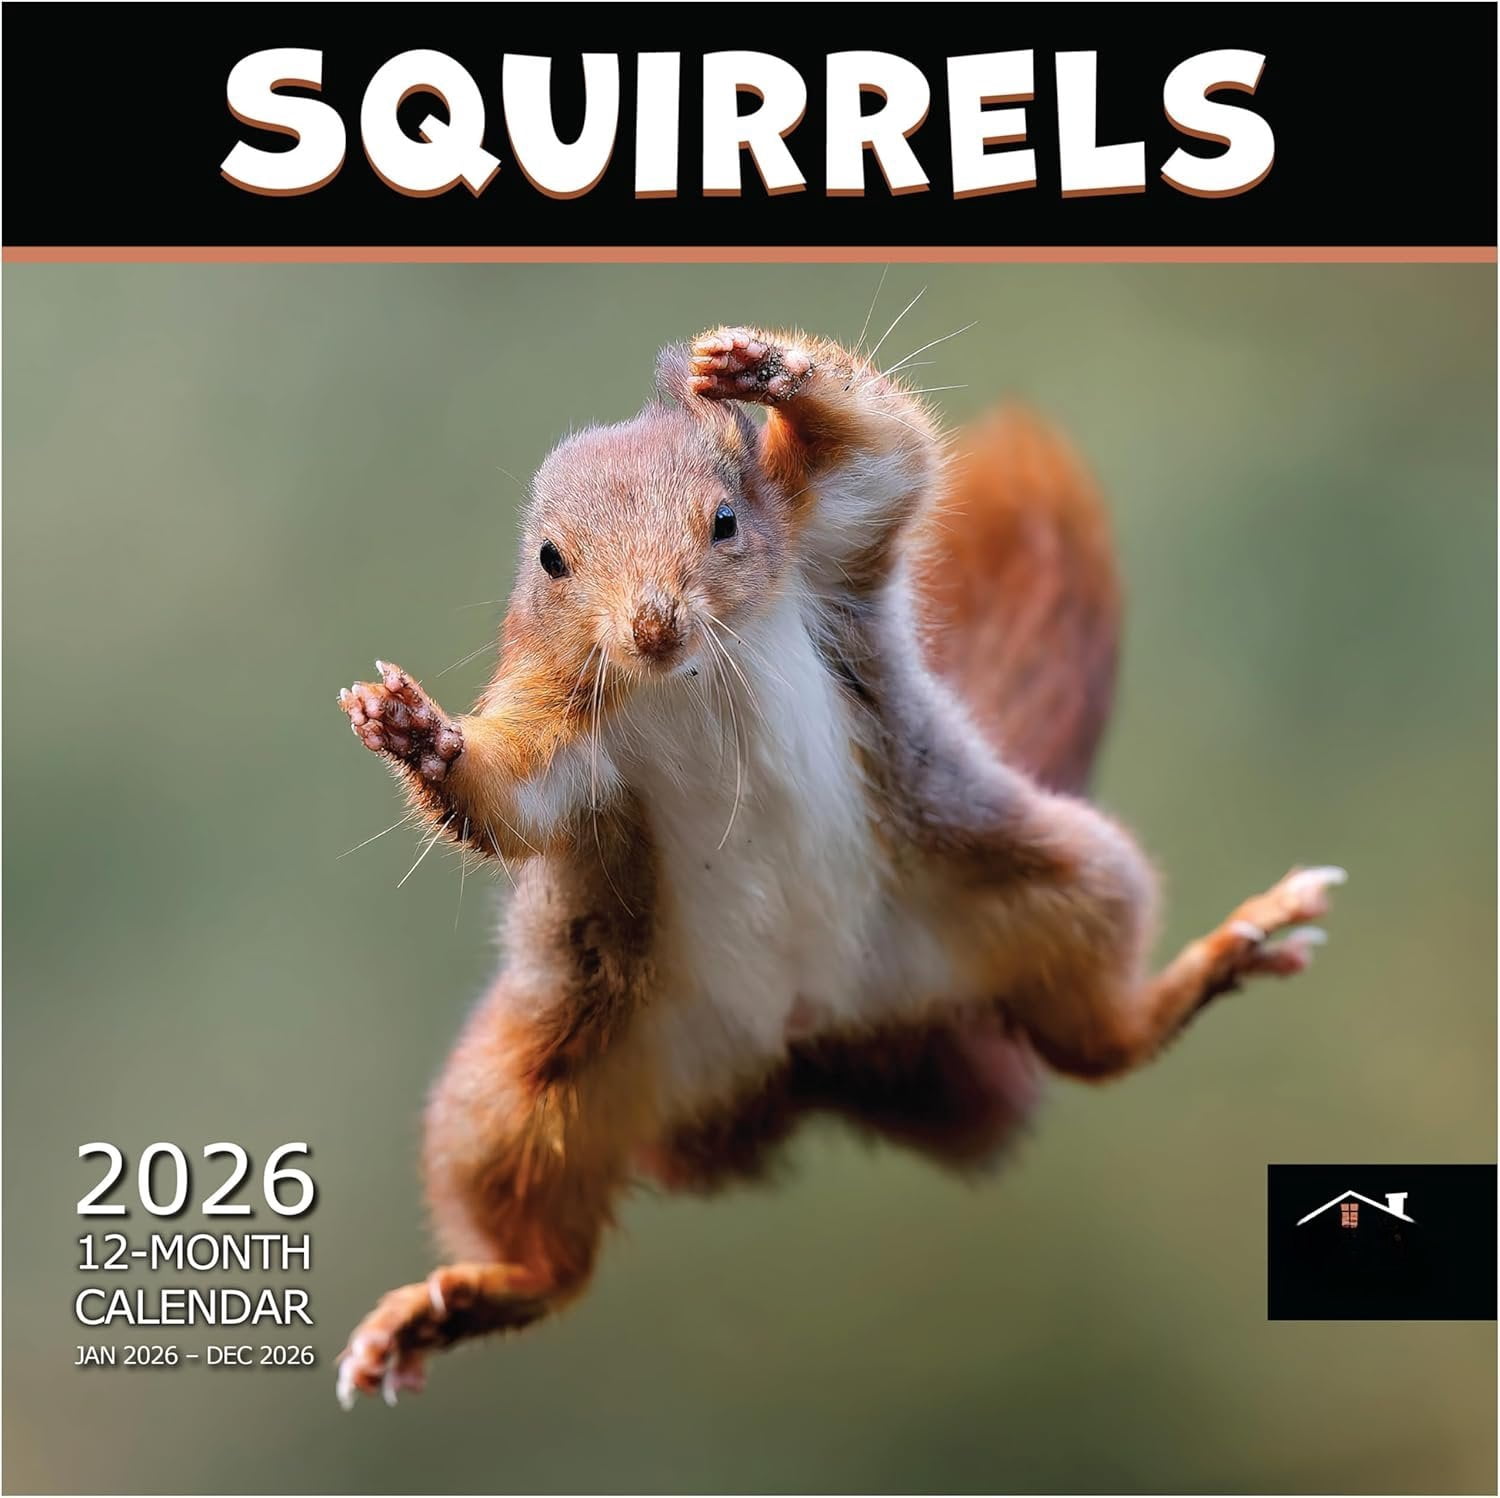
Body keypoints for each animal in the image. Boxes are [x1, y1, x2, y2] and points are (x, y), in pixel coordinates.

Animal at [333, 324, 1343, 1406]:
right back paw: (455, 1302)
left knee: (1098, 1042)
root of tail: (810, 1043)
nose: (652, 625)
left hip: (1049, 881)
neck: (686, 678)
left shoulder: (829, 542)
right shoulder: (556, 714)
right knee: (552, 1260)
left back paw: (1231, 949)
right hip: (530, 1079)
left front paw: (763, 368)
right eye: (551, 560)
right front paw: (421, 738)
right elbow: (512, 804)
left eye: (726, 520)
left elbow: (887, 455)